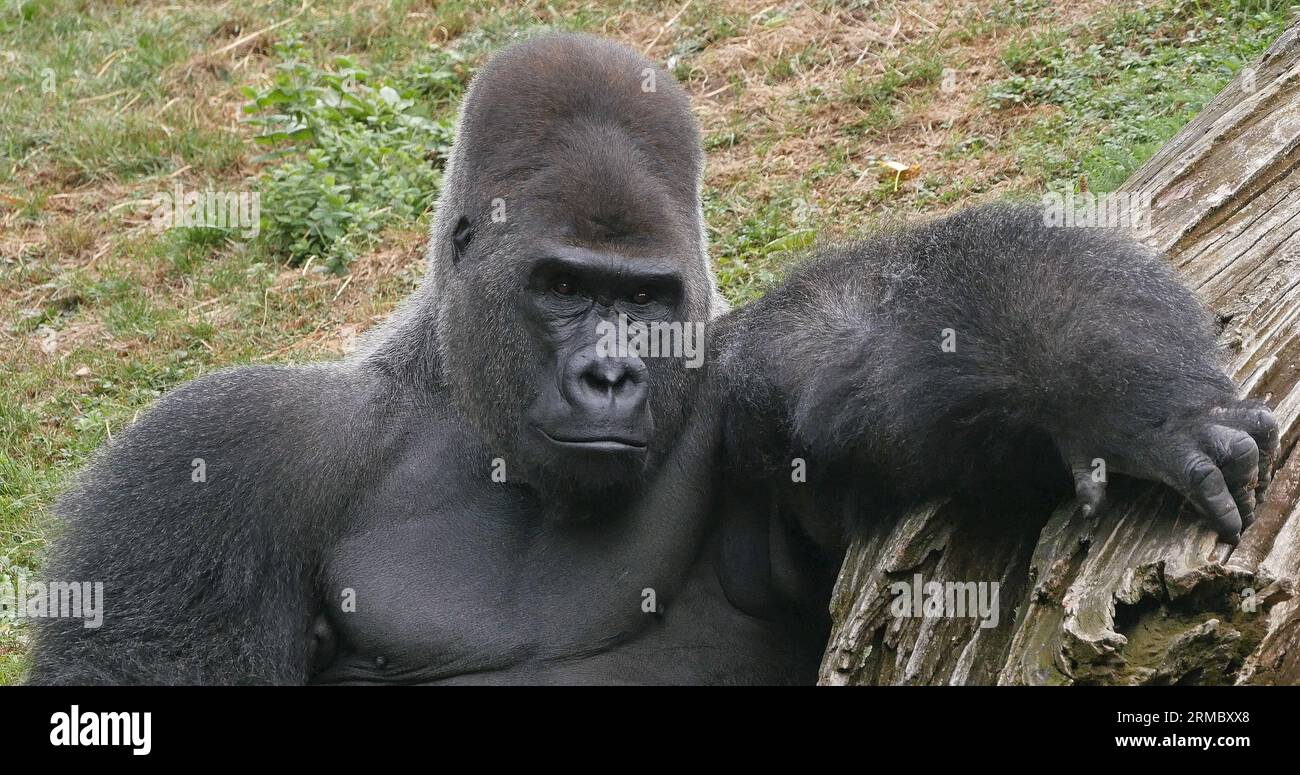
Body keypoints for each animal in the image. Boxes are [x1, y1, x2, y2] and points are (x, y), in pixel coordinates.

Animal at [26, 33, 1277, 685]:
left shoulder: (735, 377)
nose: (611, 375)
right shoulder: (216, 454)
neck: (464, 409)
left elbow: (865, 336)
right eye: (564, 289)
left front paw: (1115, 384)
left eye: (644, 301)